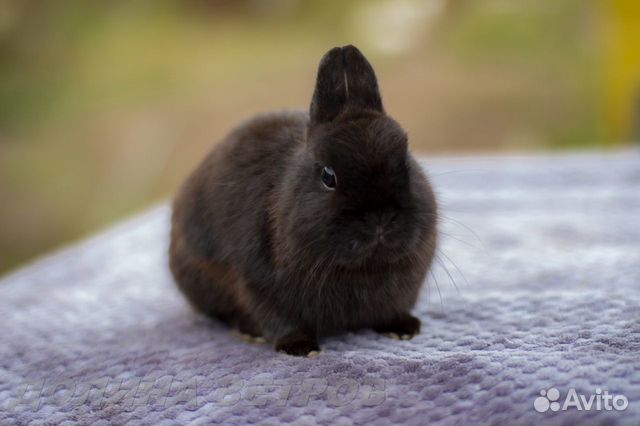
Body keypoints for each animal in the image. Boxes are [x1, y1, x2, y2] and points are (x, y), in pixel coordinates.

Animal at [169, 45, 437, 356]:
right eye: (328, 176)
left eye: (406, 162)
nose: (380, 218)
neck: (359, 268)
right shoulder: (258, 283)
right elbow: (277, 319)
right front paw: (299, 347)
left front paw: (403, 328)